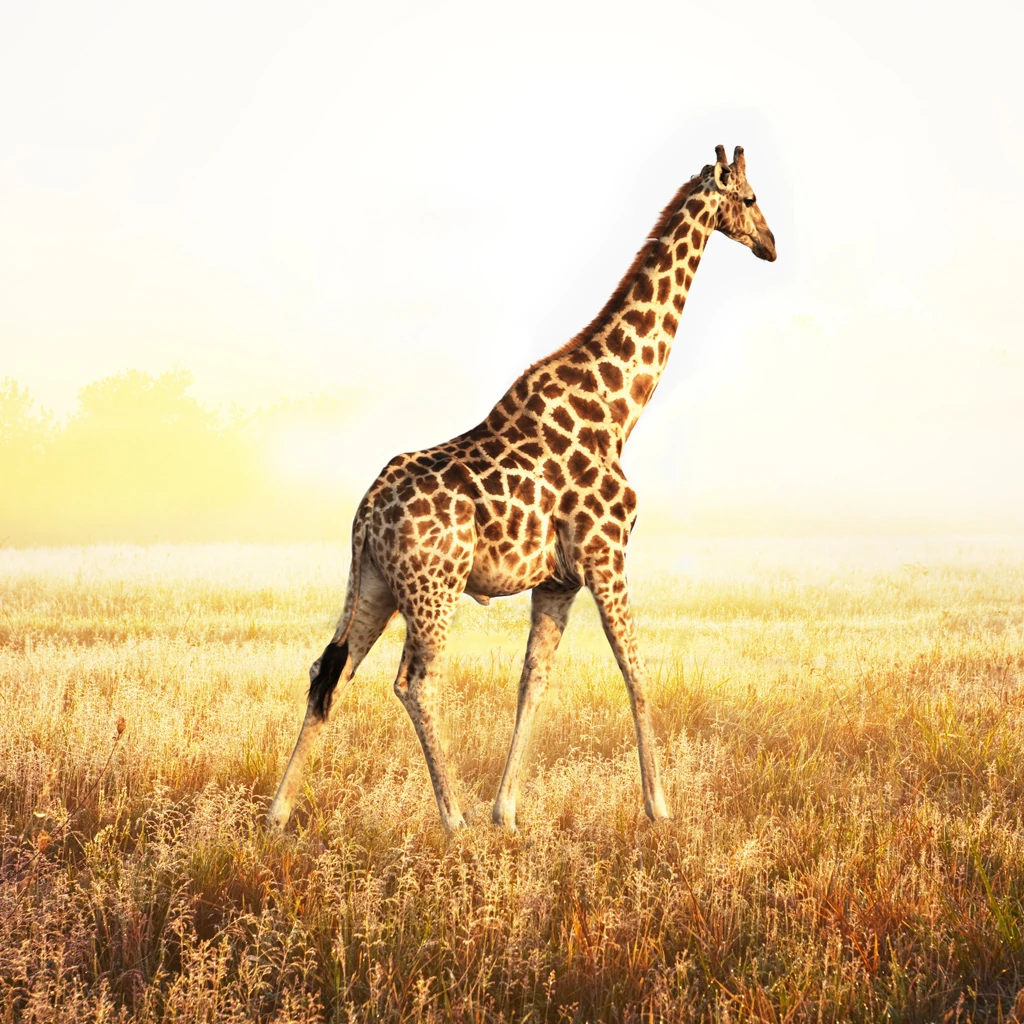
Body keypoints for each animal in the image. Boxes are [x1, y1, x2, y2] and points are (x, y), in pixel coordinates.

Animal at [268, 144, 776, 833]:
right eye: (750, 198)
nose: (771, 245)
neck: (618, 408)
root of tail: (365, 513)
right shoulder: (606, 556)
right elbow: (636, 670)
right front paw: (660, 808)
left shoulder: (558, 579)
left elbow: (532, 679)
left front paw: (506, 811)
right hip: (433, 587)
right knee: (414, 681)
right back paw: (451, 818)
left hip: (375, 582)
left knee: (331, 670)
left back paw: (278, 813)